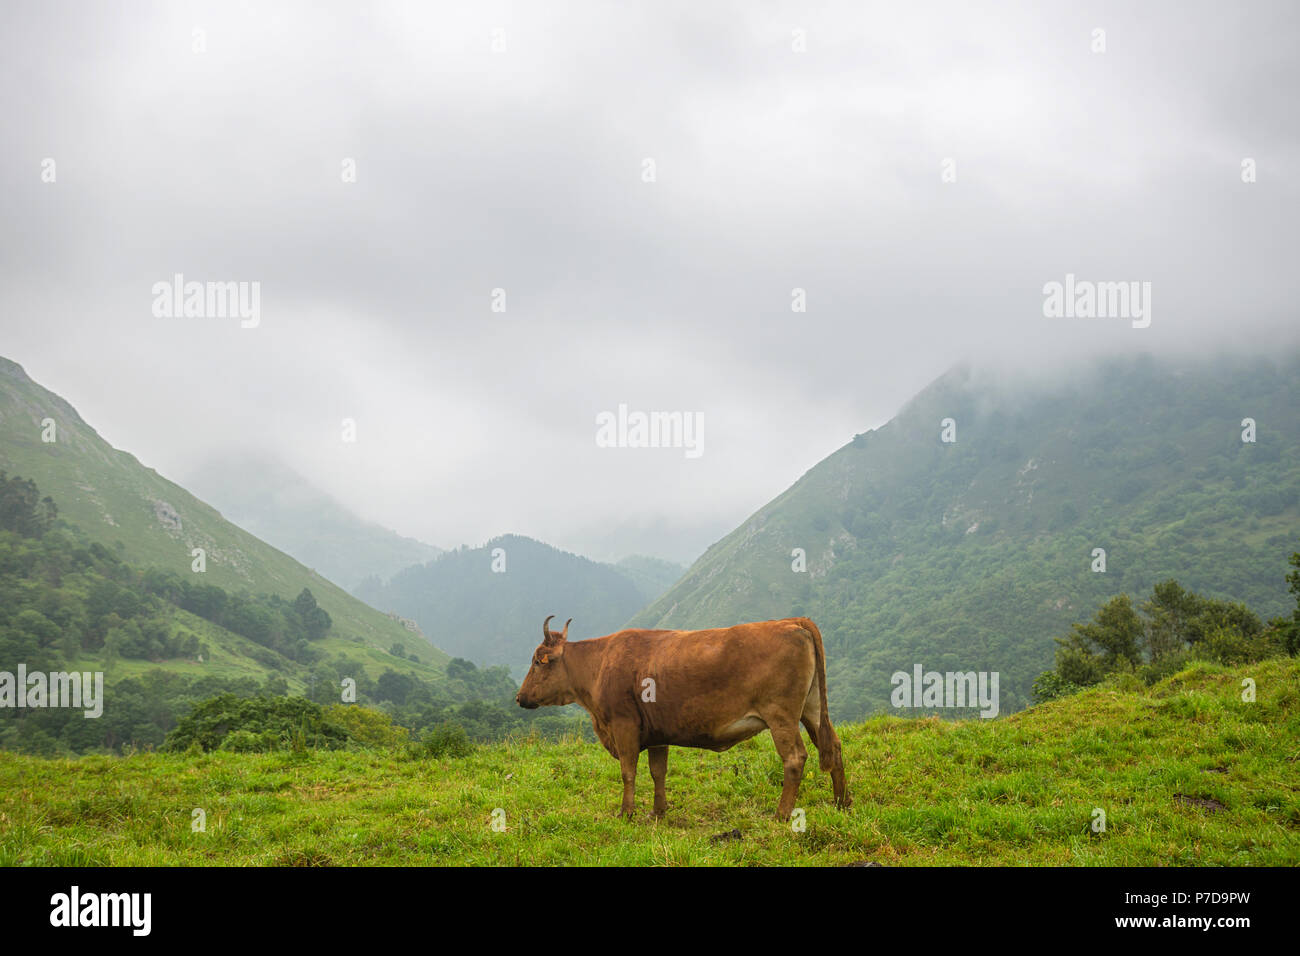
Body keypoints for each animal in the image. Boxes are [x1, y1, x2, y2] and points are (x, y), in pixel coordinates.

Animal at [515, 615, 851, 820]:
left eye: (537, 661)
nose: (519, 698)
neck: (600, 664)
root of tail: (790, 621)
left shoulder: (624, 725)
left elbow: (628, 771)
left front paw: (627, 812)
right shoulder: (656, 734)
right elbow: (658, 772)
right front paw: (658, 812)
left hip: (781, 715)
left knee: (795, 757)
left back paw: (781, 814)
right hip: (812, 709)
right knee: (833, 746)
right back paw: (841, 803)